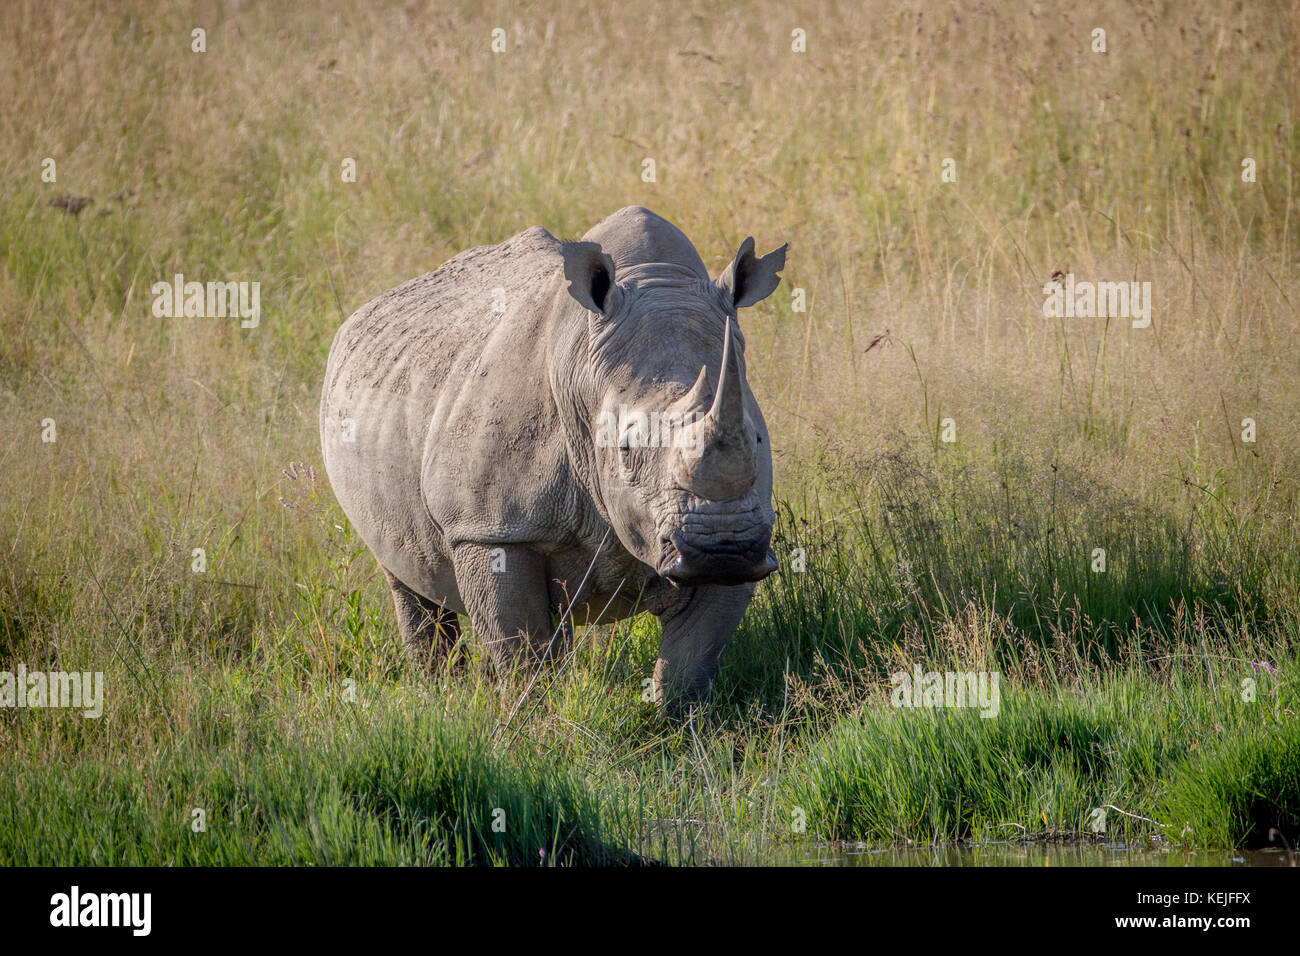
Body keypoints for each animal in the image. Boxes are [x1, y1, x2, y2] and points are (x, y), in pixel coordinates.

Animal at [320, 206, 786, 706]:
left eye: (757, 440)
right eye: (626, 448)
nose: (724, 547)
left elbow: (692, 663)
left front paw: (678, 720)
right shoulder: (489, 529)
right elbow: (521, 653)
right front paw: (532, 716)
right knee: (406, 578)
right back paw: (439, 693)